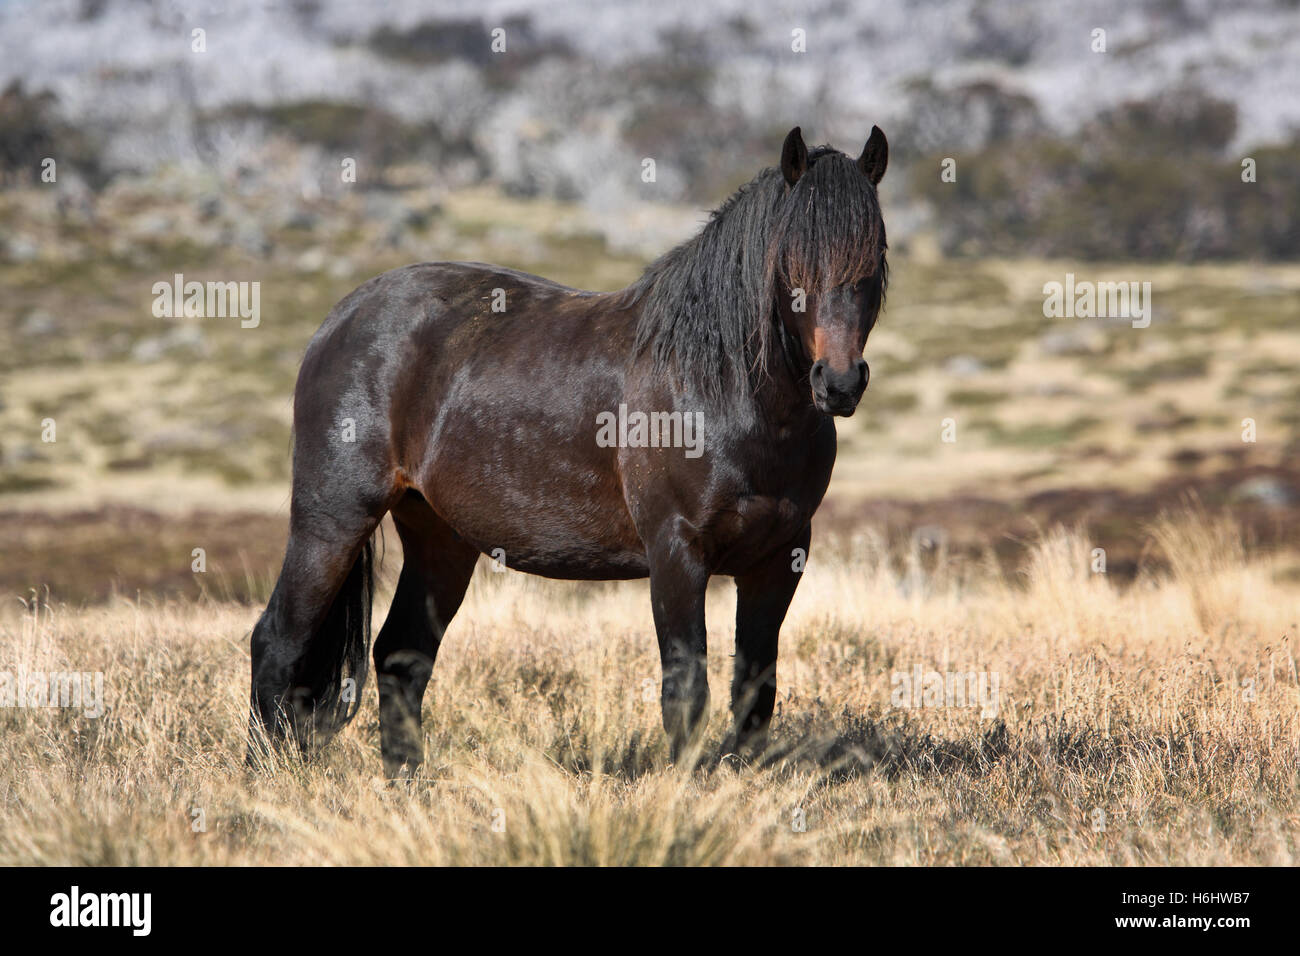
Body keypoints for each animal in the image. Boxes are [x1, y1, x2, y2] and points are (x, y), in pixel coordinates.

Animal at [248, 125, 889, 776]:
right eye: (794, 262)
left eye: (875, 258)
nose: (839, 383)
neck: (719, 387)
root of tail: (340, 320)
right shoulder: (677, 553)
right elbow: (686, 690)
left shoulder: (778, 560)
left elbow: (755, 692)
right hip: (333, 520)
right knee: (278, 641)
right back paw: (268, 772)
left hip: (439, 537)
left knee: (402, 655)